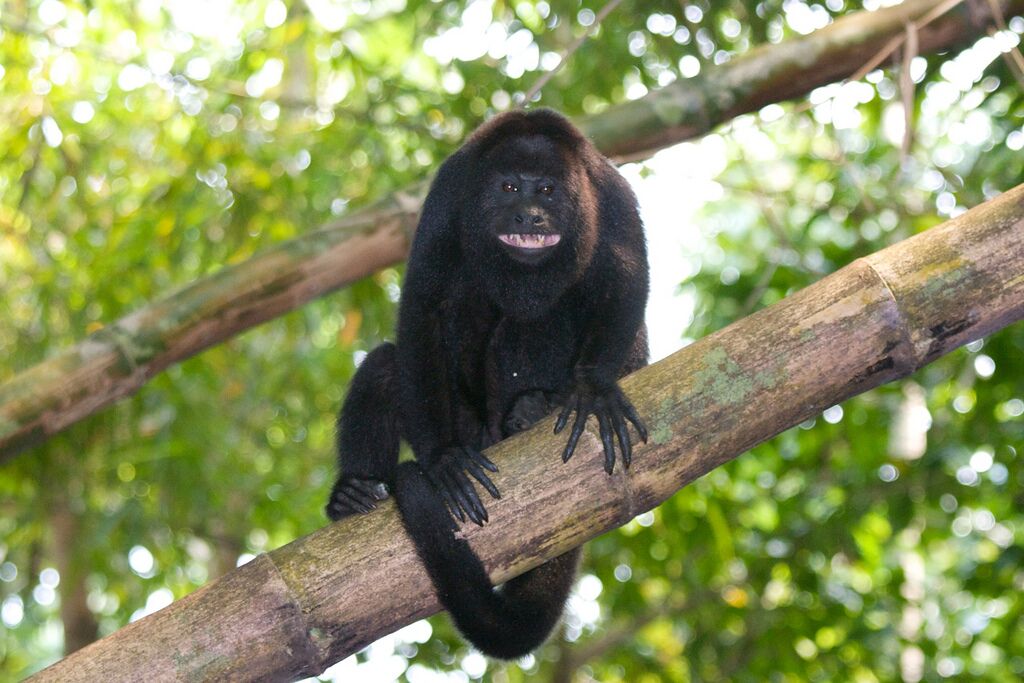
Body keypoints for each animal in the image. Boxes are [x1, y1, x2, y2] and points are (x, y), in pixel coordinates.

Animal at [325, 108, 649, 659]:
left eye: (546, 190)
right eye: (508, 187)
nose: (528, 216)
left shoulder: (609, 192)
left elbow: (625, 274)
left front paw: (593, 389)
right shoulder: (448, 192)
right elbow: (424, 304)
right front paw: (442, 460)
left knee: (542, 311)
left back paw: (534, 410)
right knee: (389, 366)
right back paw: (354, 494)